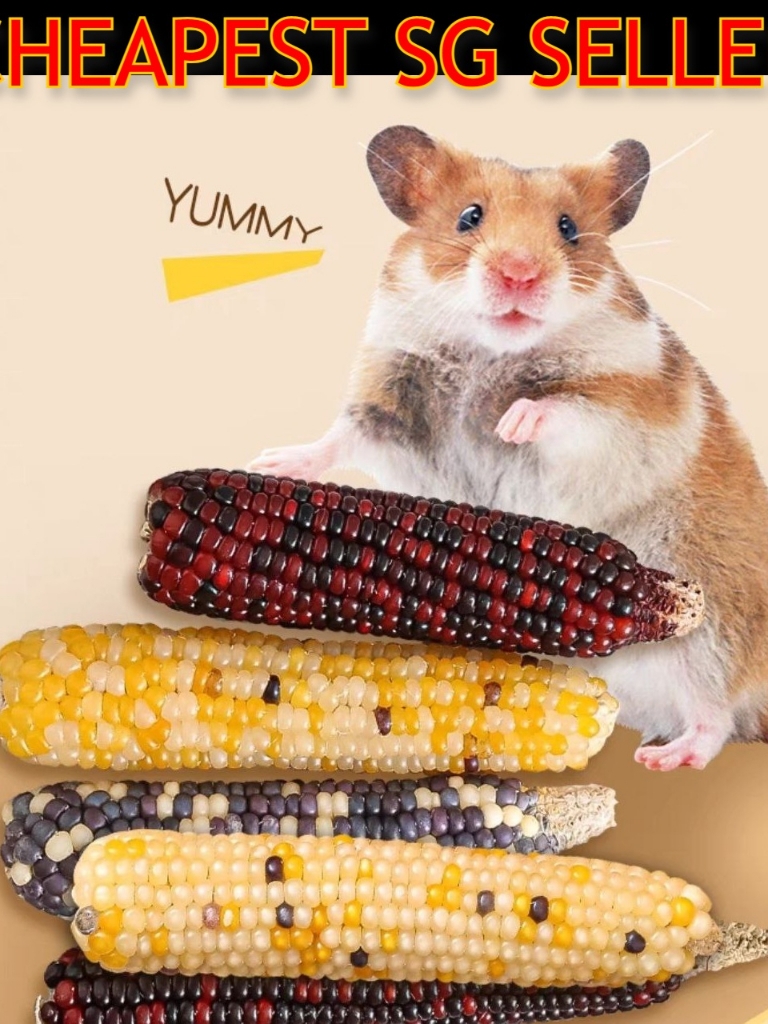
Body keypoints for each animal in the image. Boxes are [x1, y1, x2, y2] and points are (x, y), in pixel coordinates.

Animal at [249, 124, 768, 771]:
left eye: (569, 228)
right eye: (469, 217)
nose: (520, 274)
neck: (491, 350)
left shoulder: (628, 409)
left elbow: (567, 410)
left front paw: (512, 423)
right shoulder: (390, 405)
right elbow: (341, 436)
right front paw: (270, 462)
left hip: (711, 631)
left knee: (716, 717)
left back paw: (664, 756)